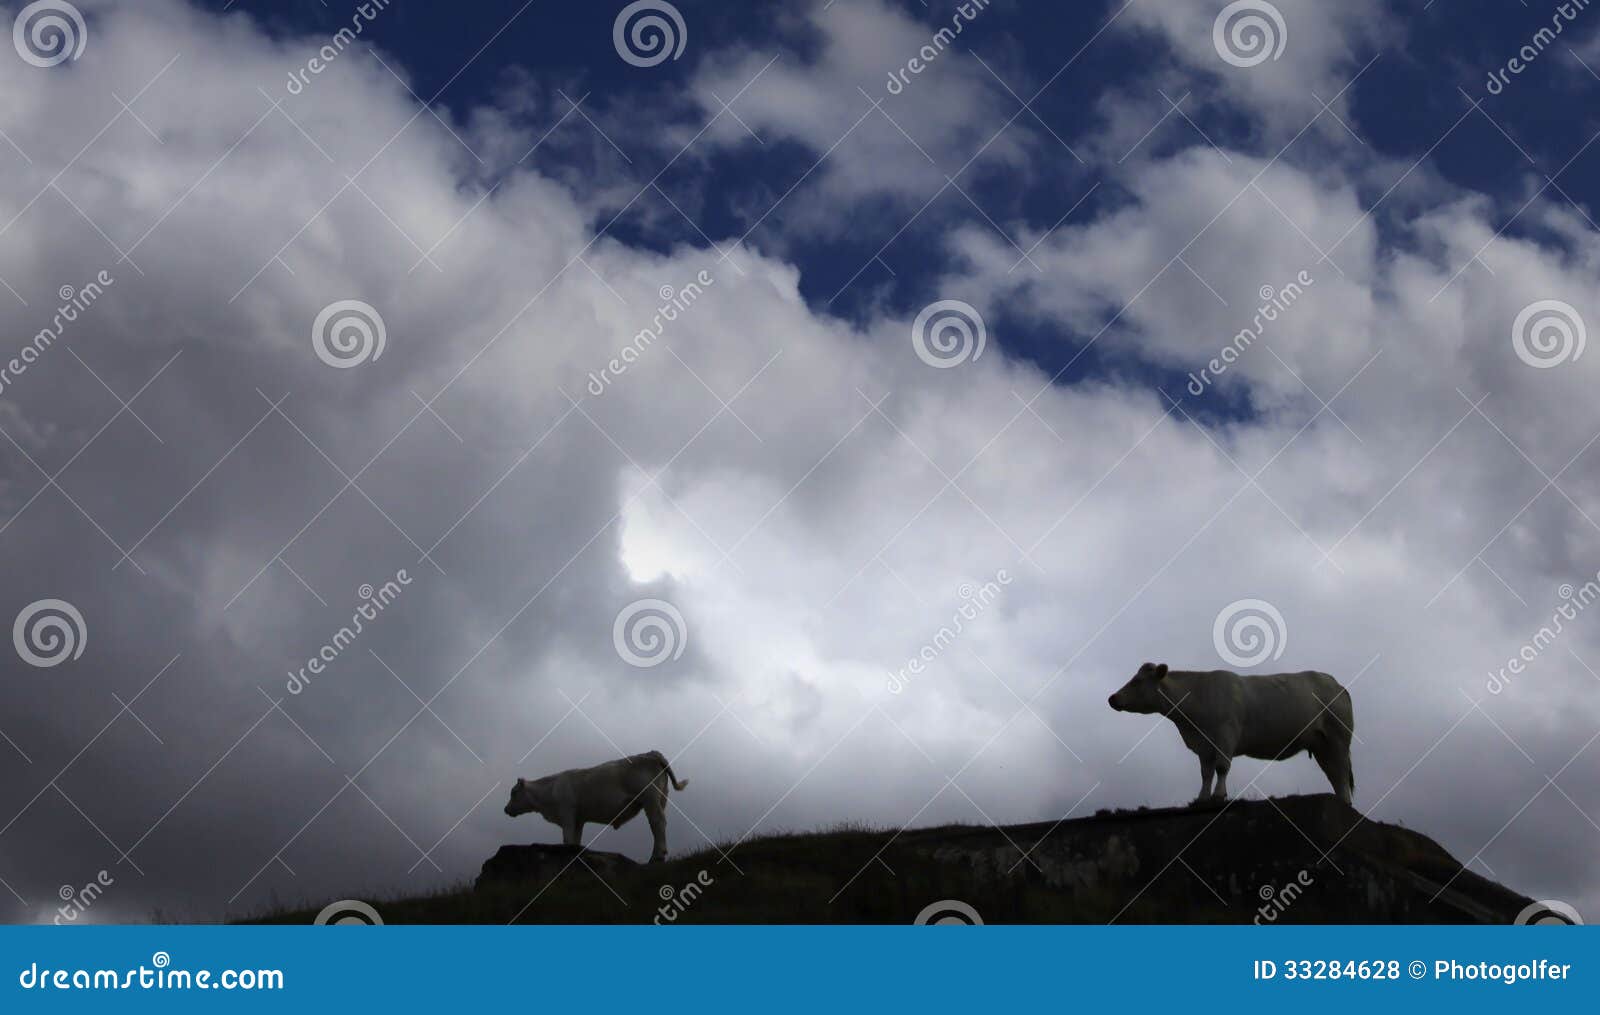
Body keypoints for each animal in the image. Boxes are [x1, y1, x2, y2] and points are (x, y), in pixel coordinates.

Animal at [504, 750, 689, 862]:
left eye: (513, 792)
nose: (506, 809)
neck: (551, 789)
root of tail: (652, 753)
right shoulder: (578, 819)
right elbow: (575, 840)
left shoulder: (567, 814)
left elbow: (567, 839)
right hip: (661, 799)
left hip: (650, 798)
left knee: (657, 823)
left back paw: (657, 857)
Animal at [1108, 663, 1354, 805]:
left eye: (1137, 681)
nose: (1112, 698)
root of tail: (1336, 683)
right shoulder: (1204, 745)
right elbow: (1205, 773)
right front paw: (1202, 797)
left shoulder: (1225, 735)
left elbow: (1222, 767)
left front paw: (1219, 795)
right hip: (1322, 745)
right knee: (1333, 773)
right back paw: (1342, 802)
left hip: (1338, 739)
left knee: (1341, 771)